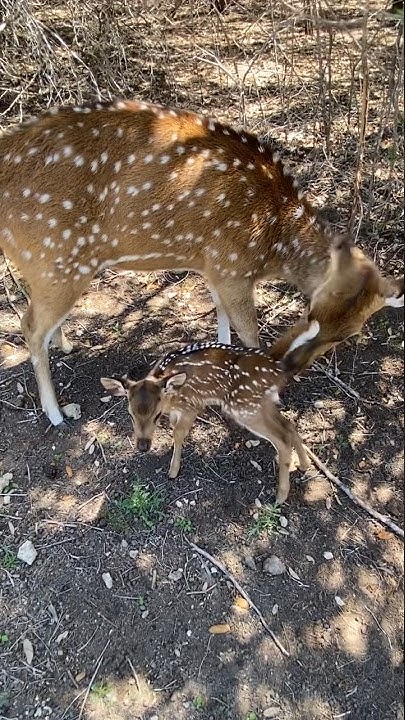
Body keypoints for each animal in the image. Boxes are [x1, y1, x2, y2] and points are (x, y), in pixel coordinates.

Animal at [0, 99, 403, 426]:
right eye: (310, 311)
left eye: (347, 335)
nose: (295, 365)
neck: (272, 243)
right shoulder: (233, 266)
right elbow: (248, 333)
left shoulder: (213, 264)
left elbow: (221, 317)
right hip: (56, 257)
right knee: (29, 325)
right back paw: (56, 413)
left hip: (51, 267)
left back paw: (65, 345)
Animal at [100, 341, 310, 504]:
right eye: (131, 414)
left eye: (156, 415)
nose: (143, 446)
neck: (170, 398)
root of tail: (279, 372)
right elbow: (174, 428)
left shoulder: (191, 406)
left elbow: (178, 433)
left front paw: (173, 471)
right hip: (261, 403)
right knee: (289, 425)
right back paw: (304, 465)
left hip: (245, 408)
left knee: (282, 439)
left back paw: (280, 496)